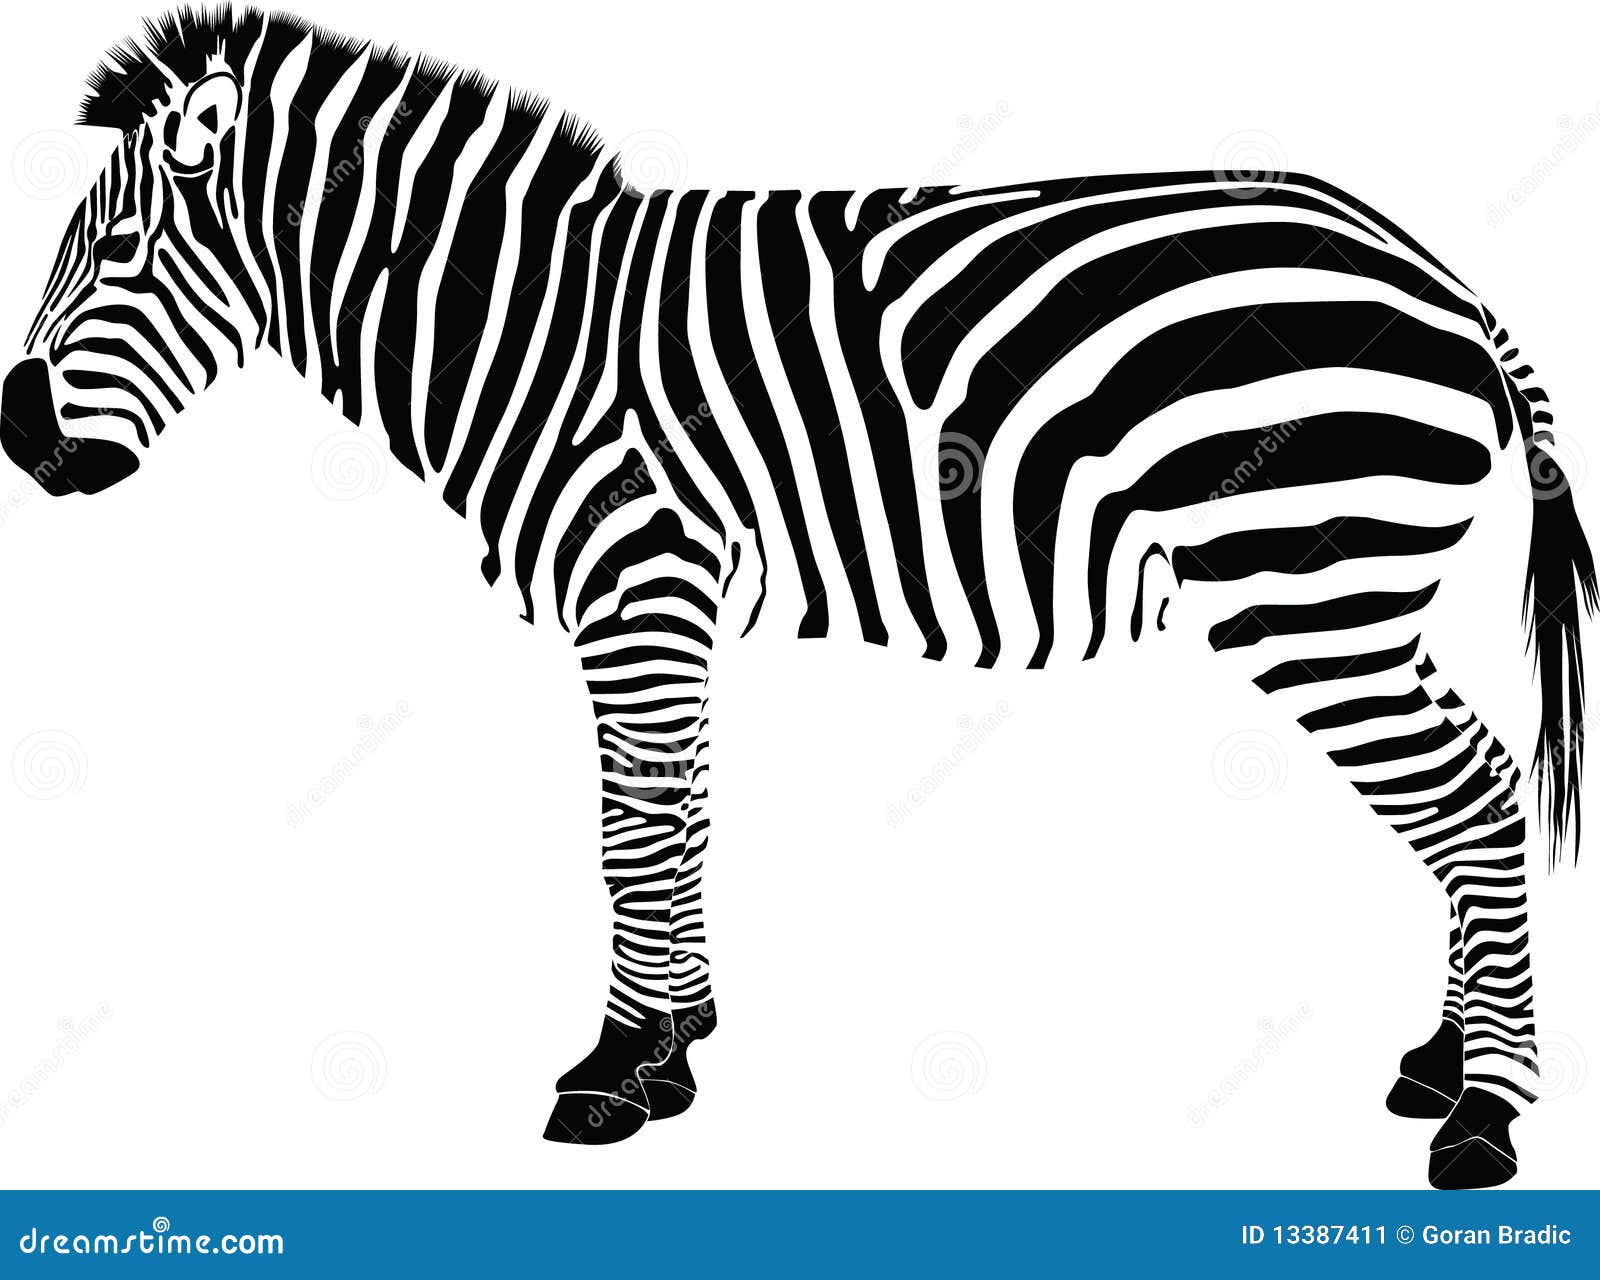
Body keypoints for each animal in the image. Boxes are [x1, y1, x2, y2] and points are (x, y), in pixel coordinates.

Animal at [3, 7, 1590, 1190]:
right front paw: (680, 1040)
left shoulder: (637, 583)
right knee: (1479, 785)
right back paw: (1445, 1063)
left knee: (1468, 796)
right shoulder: (668, 604)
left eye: (119, 253)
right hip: (1359, 594)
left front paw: (615, 1071)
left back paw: (1487, 1113)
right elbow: (680, 817)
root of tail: (1435, 271)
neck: (529, 332)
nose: (17, 434)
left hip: (1310, 579)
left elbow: (629, 832)